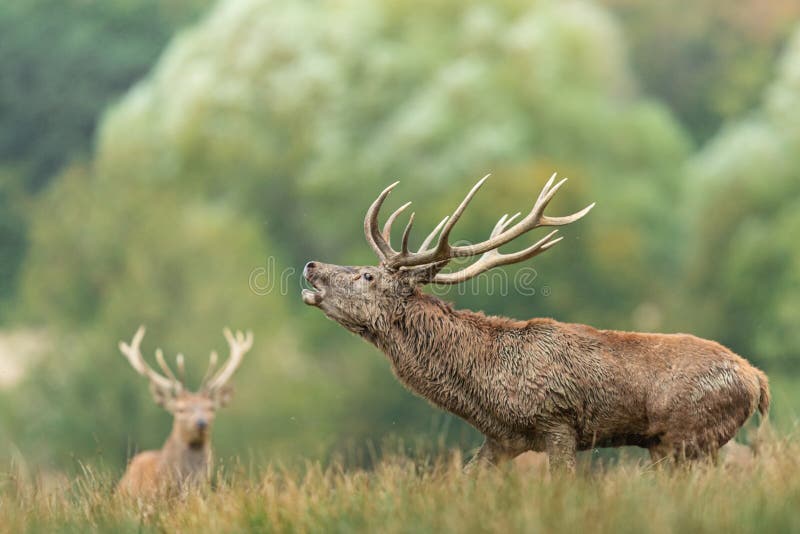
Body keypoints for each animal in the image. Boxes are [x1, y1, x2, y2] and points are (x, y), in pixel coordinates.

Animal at [302, 173, 770, 471]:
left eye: (367, 275)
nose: (311, 266)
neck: (486, 387)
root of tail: (758, 381)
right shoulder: (501, 440)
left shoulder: (558, 423)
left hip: (686, 436)